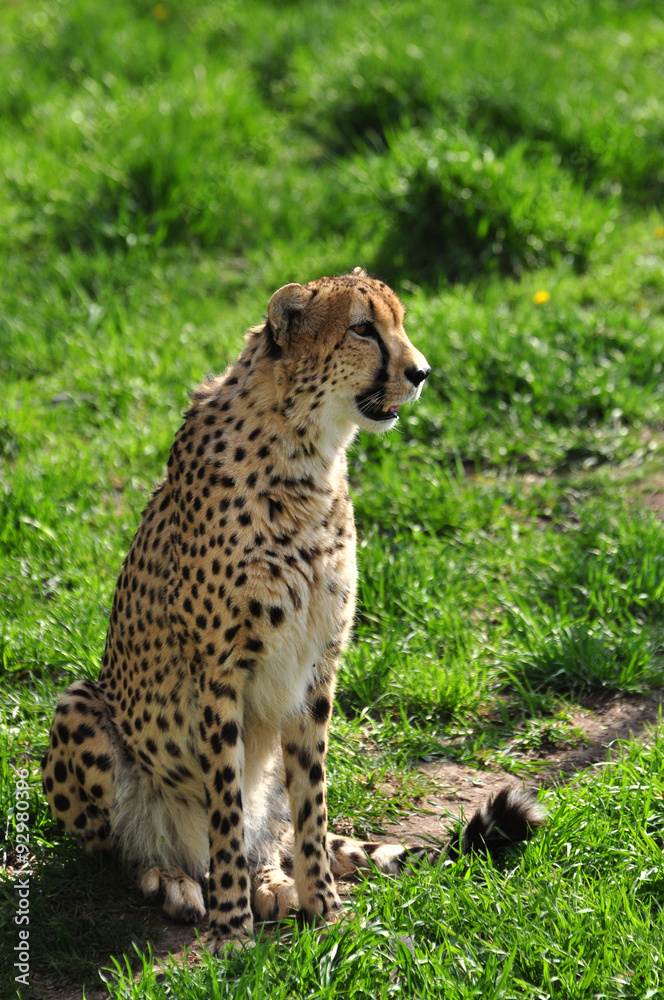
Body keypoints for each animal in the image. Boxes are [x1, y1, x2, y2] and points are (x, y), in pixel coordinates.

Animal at [41, 268, 543, 954]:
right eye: (363, 329)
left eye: (400, 323)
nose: (421, 372)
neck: (306, 454)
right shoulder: (219, 674)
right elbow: (227, 807)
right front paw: (231, 926)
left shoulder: (316, 669)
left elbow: (311, 803)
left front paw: (323, 909)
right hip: (81, 706)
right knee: (131, 848)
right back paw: (172, 878)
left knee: (270, 825)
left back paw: (271, 880)